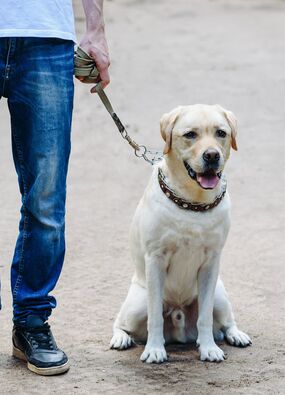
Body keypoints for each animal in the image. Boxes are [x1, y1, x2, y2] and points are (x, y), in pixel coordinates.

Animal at [110, 103, 250, 364]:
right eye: (190, 135)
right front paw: (155, 349)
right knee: (121, 321)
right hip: (137, 304)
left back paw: (235, 335)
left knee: (226, 321)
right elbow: (155, 315)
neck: (193, 203)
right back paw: (121, 338)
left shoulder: (211, 263)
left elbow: (204, 316)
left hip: (219, 295)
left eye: (221, 133)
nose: (212, 155)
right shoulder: (155, 259)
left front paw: (209, 348)